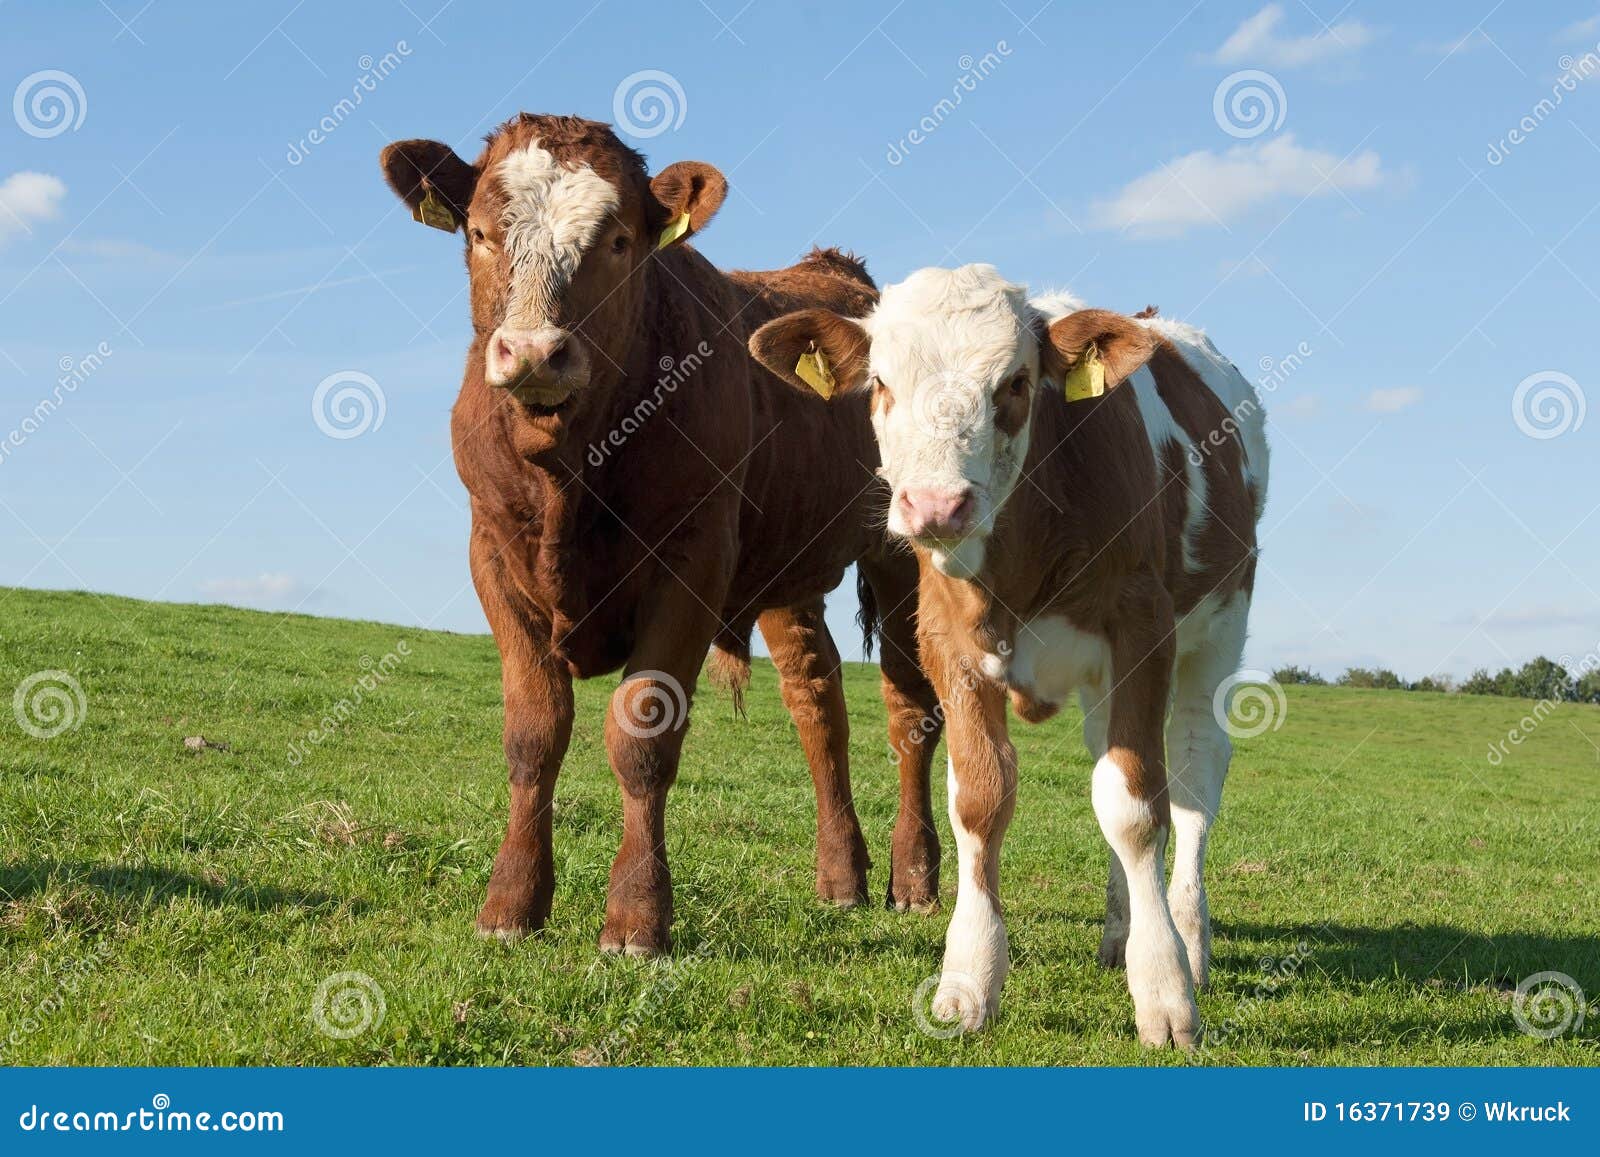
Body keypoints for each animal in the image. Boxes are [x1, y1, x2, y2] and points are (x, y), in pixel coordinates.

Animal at [377, 115, 943, 956]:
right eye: (478, 232)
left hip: (899, 552)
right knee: (818, 704)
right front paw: (510, 904)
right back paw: (842, 877)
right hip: (787, 565)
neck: (569, 466)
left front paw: (638, 918)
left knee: (910, 707)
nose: (536, 352)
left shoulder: (691, 561)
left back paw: (914, 879)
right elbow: (533, 736)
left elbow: (642, 739)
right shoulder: (493, 557)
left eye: (619, 241)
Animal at [748, 264, 1268, 1046]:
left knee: (1192, 776)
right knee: (1109, 760)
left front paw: (1165, 989)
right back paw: (1118, 931)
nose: (936, 505)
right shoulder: (948, 641)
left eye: (1017, 383)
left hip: (1218, 629)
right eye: (879, 382)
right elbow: (982, 798)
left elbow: (1138, 809)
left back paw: (1188, 935)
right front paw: (968, 981)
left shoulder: (1142, 628)